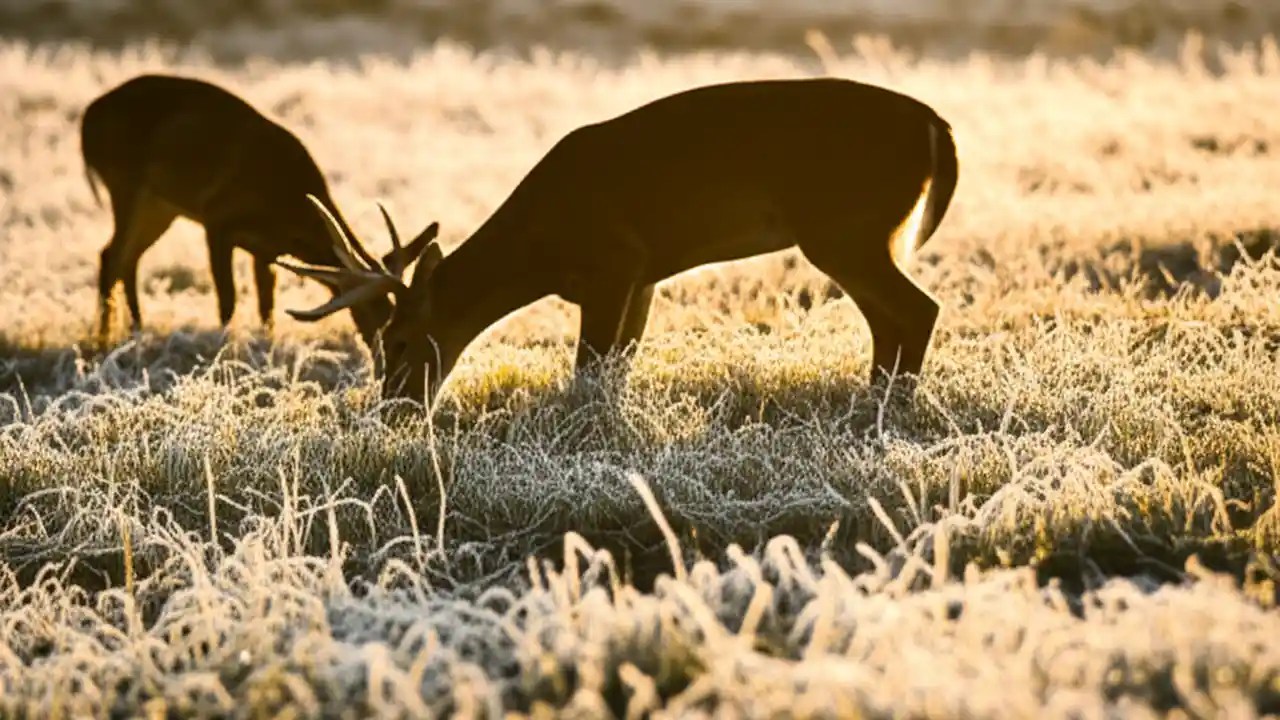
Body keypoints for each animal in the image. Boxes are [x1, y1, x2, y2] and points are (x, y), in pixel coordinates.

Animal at [80, 73, 437, 356]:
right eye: (372, 309)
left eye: (392, 309)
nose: (382, 349)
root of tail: (87, 118)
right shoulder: (217, 219)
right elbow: (228, 299)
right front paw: (224, 351)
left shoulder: (267, 249)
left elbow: (267, 305)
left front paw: (266, 349)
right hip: (125, 185)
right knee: (111, 256)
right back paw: (105, 341)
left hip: (160, 206)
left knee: (126, 258)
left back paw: (135, 331)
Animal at [277, 77, 959, 408]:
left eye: (398, 341)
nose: (393, 409)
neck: (541, 247)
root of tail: (938, 125)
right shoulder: (645, 274)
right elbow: (618, 367)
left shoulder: (612, 264)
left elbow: (589, 370)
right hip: (855, 233)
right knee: (893, 319)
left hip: (844, 228)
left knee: (916, 310)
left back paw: (882, 411)